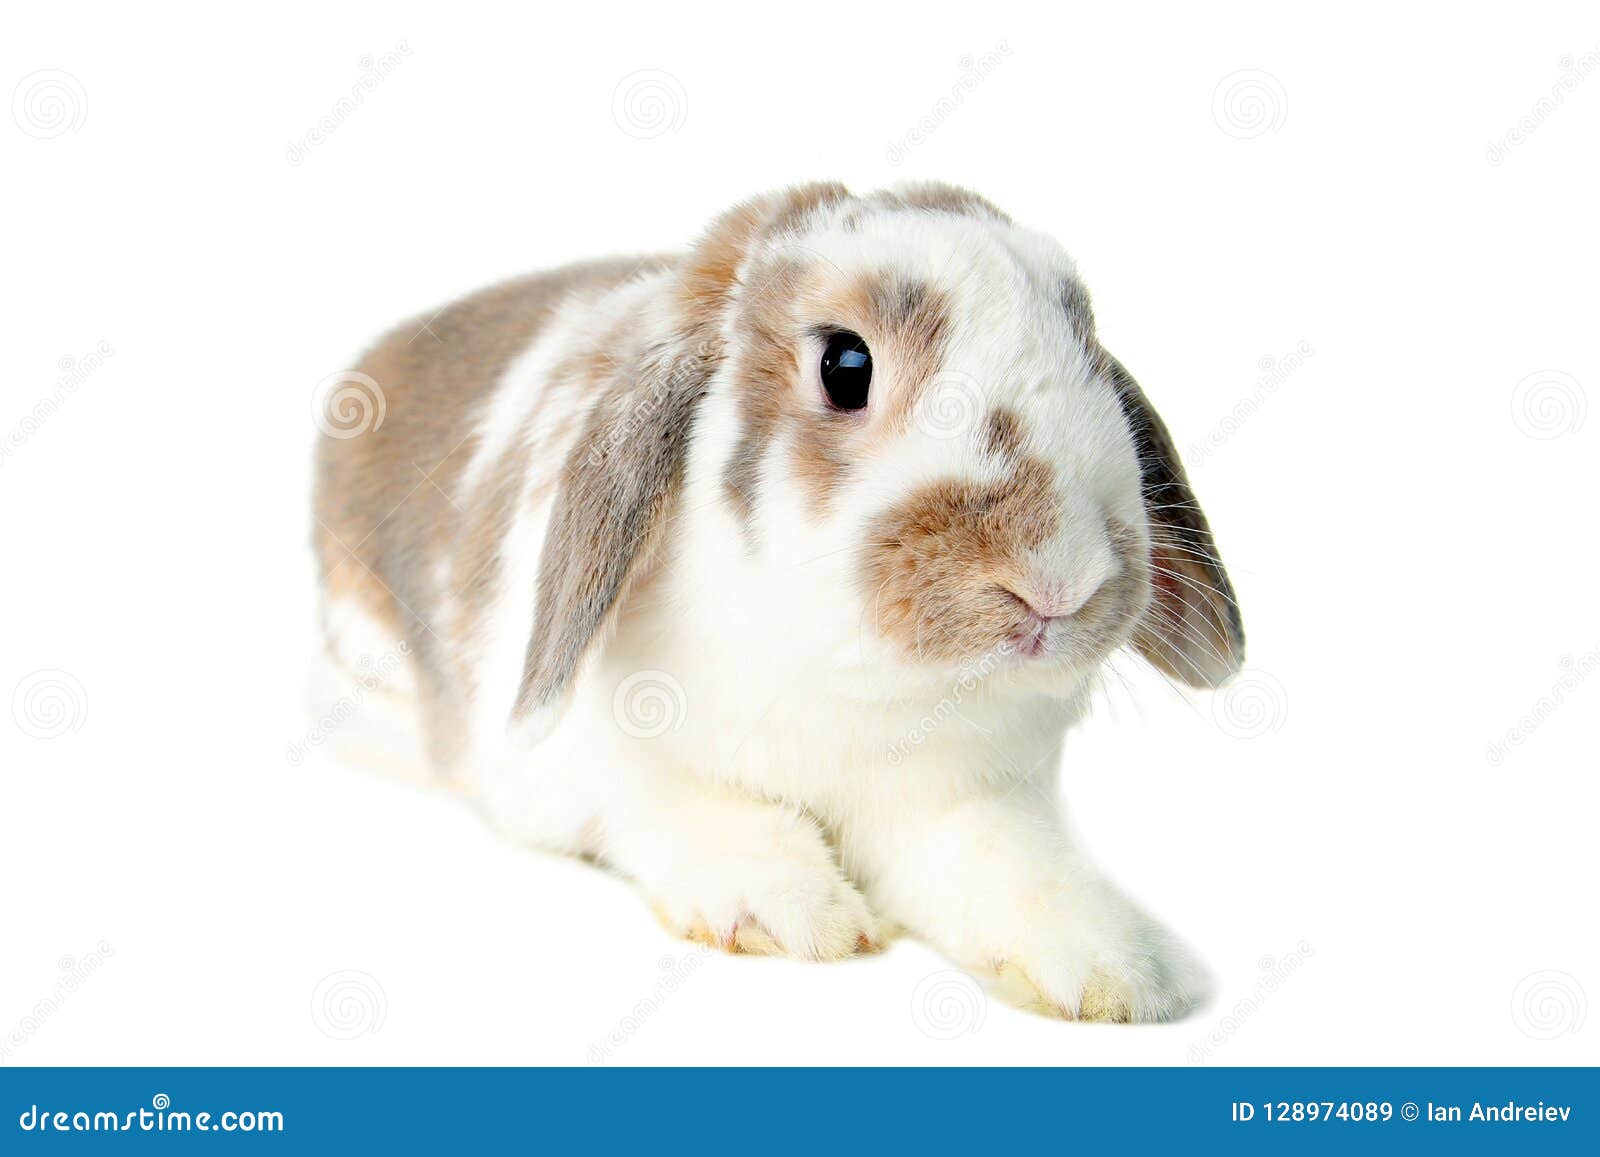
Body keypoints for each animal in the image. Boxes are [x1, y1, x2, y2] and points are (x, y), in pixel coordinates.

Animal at [312, 182, 1244, 1023]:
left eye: (1089, 349)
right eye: (846, 365)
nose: (1060, 576)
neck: (847, 684)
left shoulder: (961, 800)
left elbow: (1009, 864)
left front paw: (1118, 966)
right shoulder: (604, 767)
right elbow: (680, 804)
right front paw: (795, 909)